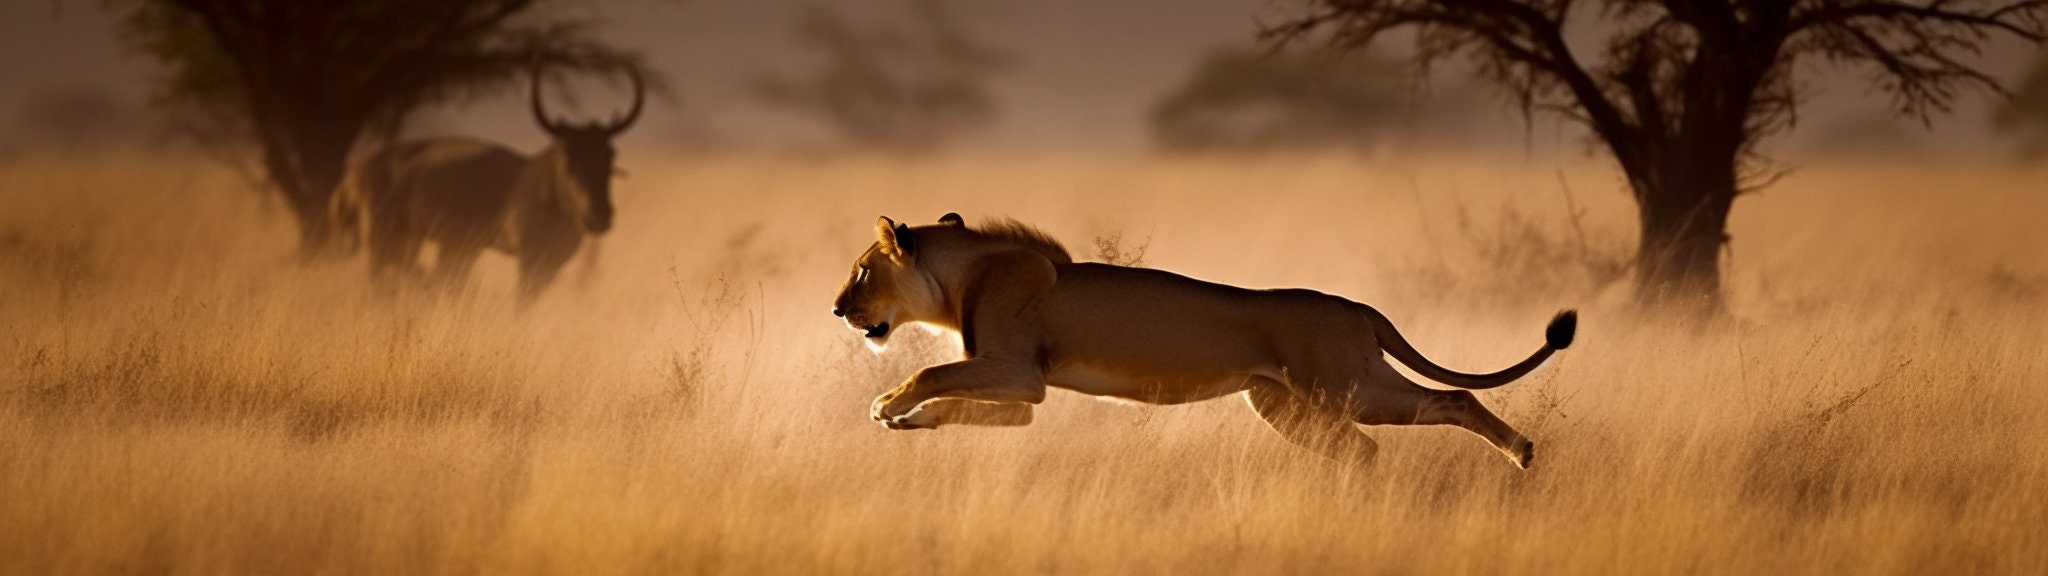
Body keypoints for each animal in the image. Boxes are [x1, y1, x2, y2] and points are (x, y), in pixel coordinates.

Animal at [832, 213, 1575, 468]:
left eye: (862, 271)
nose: (837, 309)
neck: (960, 278)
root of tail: (1354, 305)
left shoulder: (1020, 372)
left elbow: (931, 375)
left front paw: (888, 404)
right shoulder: (1020, 397)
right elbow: (959, 402)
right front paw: (910, 422)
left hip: (1350, 387)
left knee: (1452, 399)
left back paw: (1520, 453)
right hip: (1282, 405)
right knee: (1364, 449)